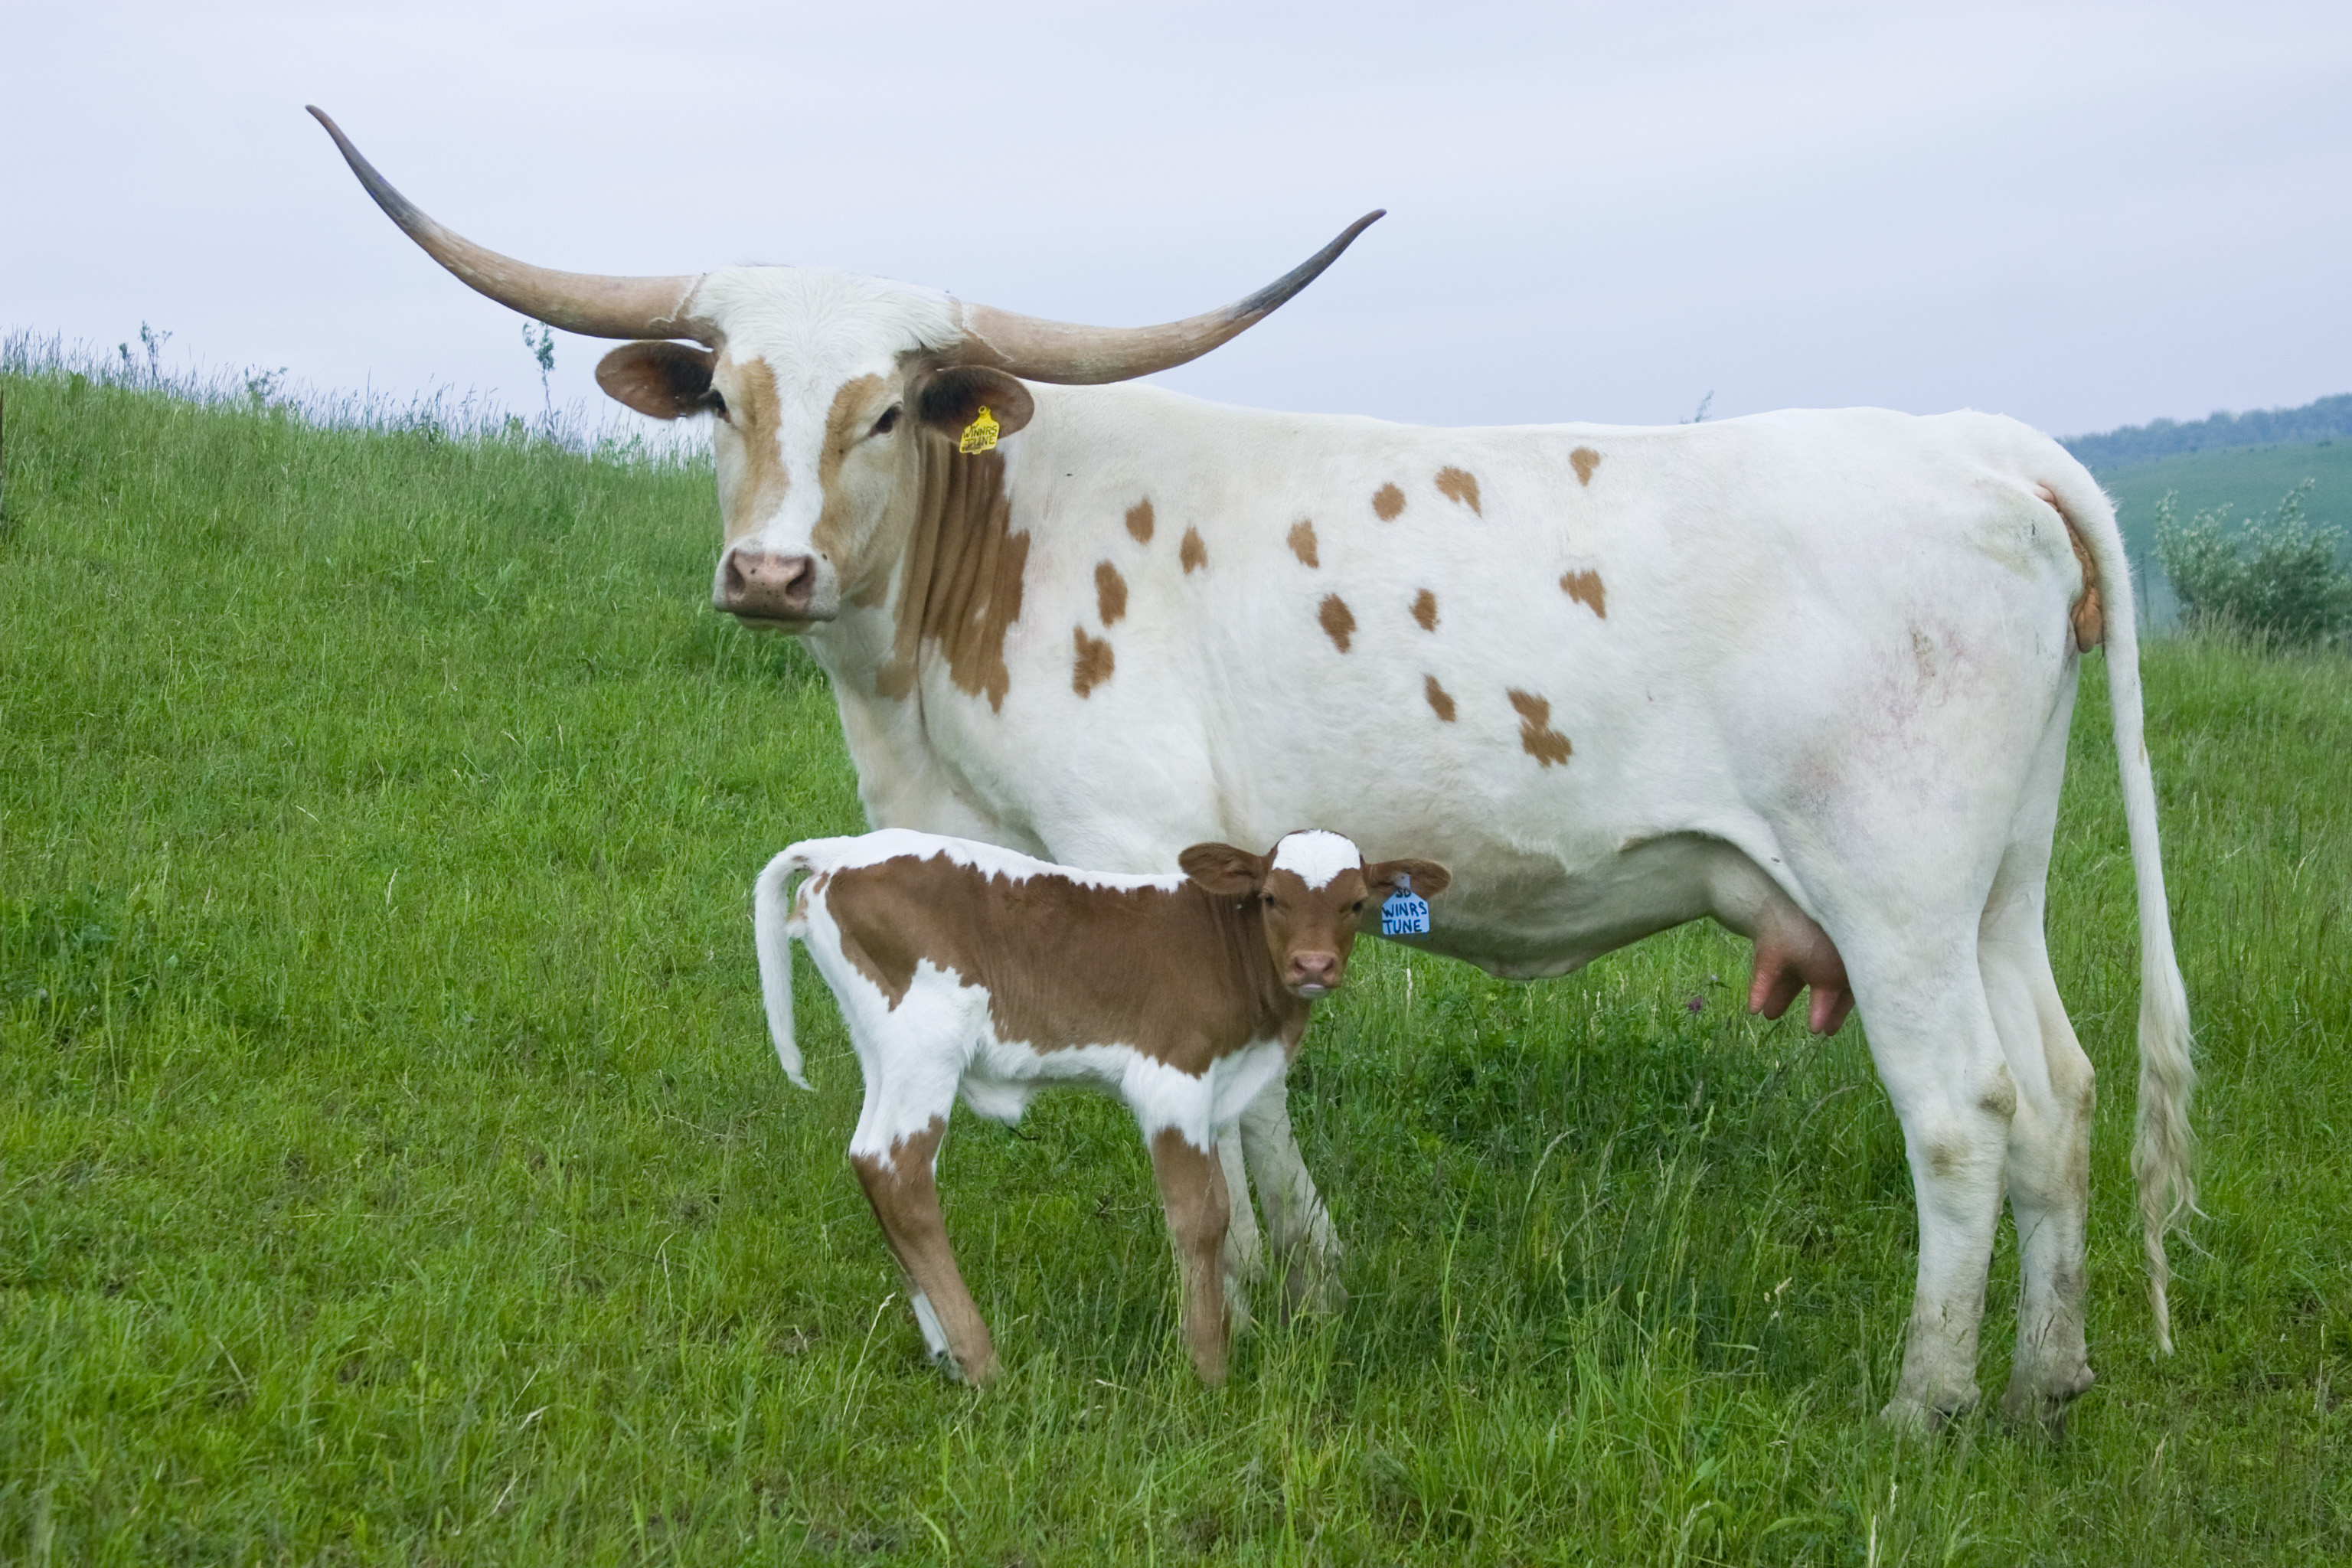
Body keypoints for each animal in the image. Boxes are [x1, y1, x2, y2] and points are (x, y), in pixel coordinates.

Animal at [753, 827, 1449, 1384]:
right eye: (1272, 898)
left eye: (1355, 904)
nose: (1313, 965)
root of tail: (841, 851)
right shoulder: (1171, 1080)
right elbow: (1201, 1217)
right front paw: (1208, 1365)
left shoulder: (1218, 1095)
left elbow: (1226, 1211)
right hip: (926, 1042)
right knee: (895, 1170)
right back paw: (982, 1363)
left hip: (885, 1049)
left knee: (870, 1164)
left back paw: (947, 1351)